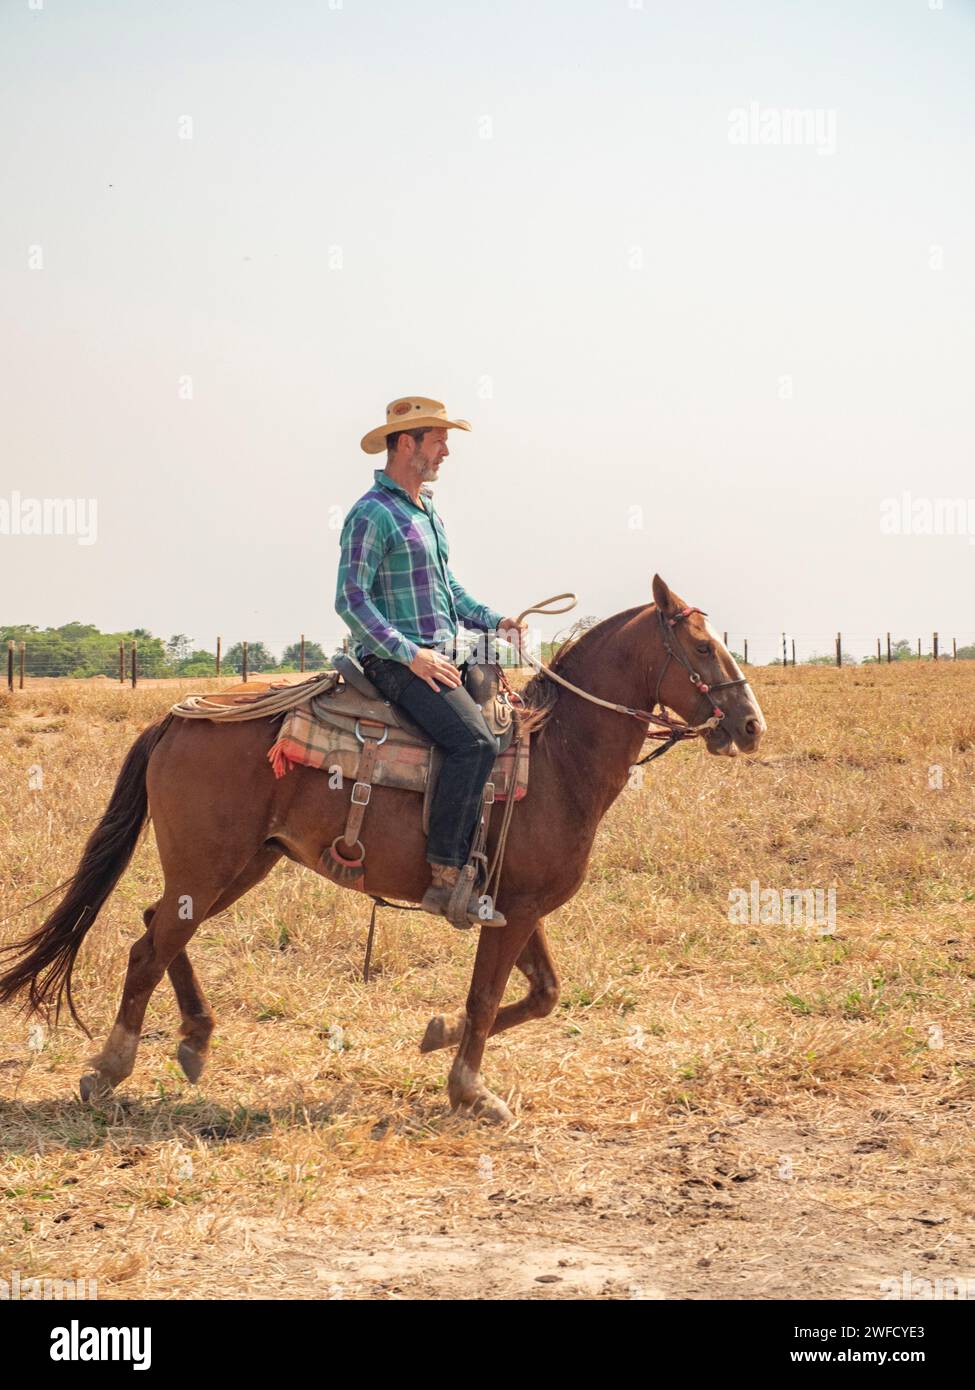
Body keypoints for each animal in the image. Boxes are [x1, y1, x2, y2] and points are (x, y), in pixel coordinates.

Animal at [0, 575, 766, 1123]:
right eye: (702, 647)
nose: (751, 724)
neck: (556, 756)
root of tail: (177, 718)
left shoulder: (517, 907)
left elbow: (542, 994)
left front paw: (437, 1033)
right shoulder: (513, 911)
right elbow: (489, 997)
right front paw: (470, 1090)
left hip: (241, 865)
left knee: (154, 930)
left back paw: (194, 1038)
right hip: (208, 866)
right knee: (147, 949)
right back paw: (109, 1069)